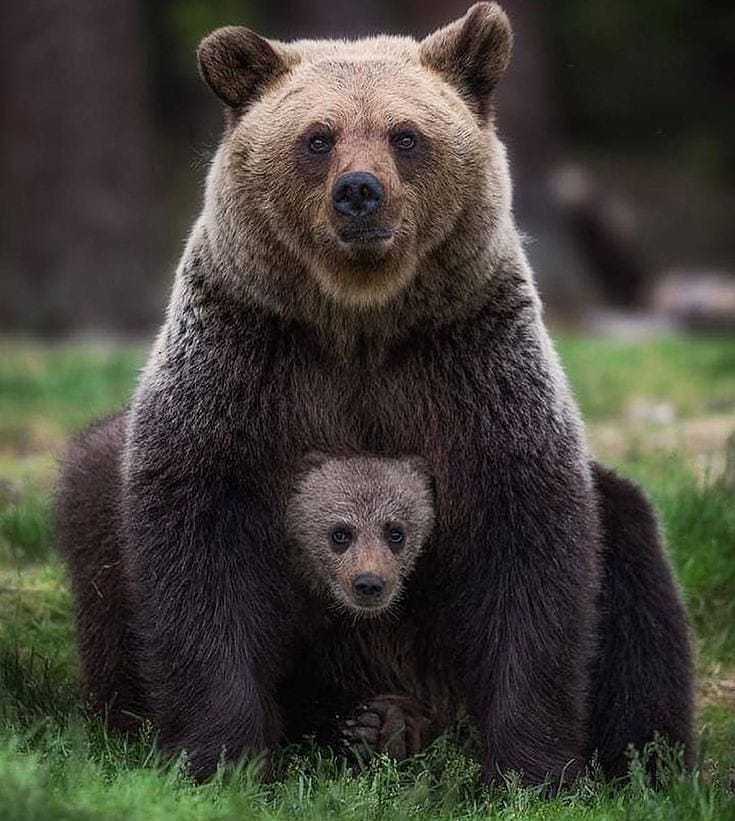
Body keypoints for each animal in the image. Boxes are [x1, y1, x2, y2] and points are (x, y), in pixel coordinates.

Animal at [56, 2, 695, 787]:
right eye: (318, 137)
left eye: (405, 135)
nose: (359, 190)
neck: (359, 320)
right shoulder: (245, 365)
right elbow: (199, 551)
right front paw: (222, 753)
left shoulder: (470, 372)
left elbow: (528, 552)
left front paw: (533, 766)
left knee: (636, 568)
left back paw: (641, 759)